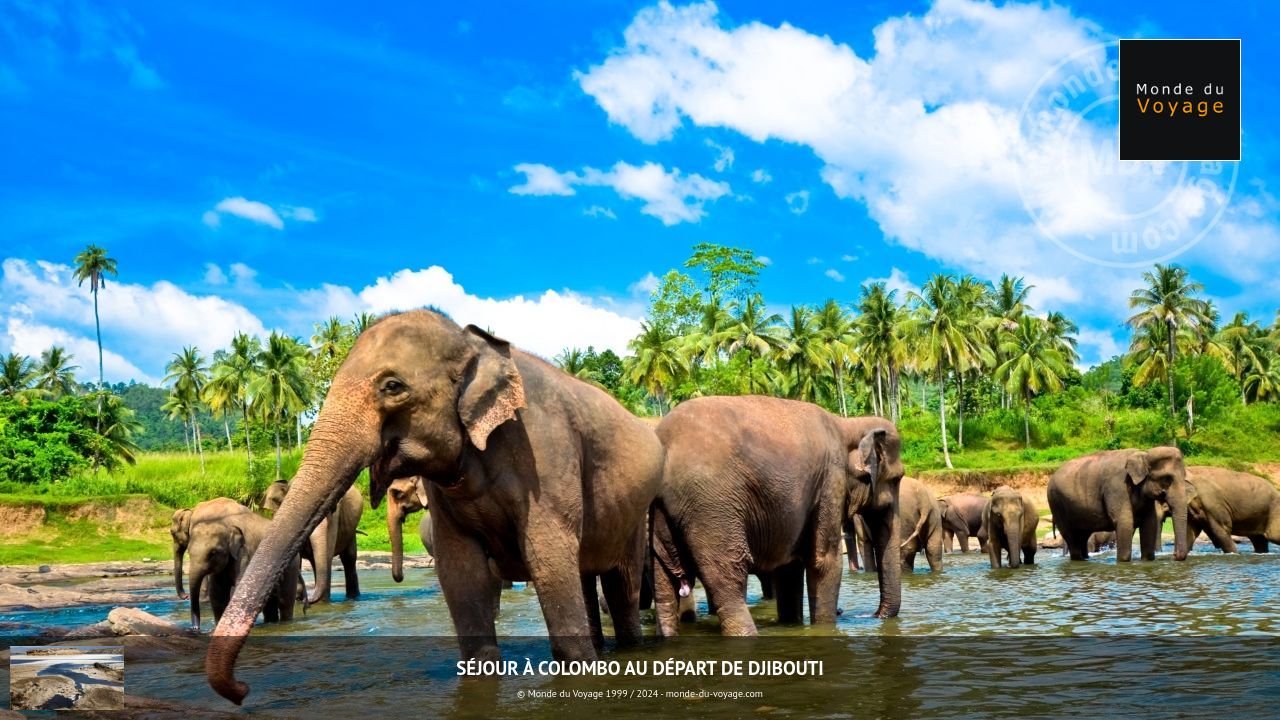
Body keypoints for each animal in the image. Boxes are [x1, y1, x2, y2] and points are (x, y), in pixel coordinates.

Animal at [204, 308, 665, 702]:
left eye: (392, 387)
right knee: (585, 579)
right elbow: (461, 571)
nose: (242, 691)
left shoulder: (547, 456)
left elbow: (548, 558)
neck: (472, 342)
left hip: (635, 512)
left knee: (621, 588)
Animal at [650, 394, 901, 635]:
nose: (870, 615)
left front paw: (792, 624)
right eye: (897, 479)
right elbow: (824, 561)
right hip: (712, 507)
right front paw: (824, 629)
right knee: (728, 579)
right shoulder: (830, 481)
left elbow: (789, 567)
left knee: (664, 585)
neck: (847, 424)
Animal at [1049, 443, 1187, 561]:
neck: (1143, 454)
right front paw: (1123, 561)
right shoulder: (1117, 487)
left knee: (1083, 536)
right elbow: (1125, 522)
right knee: (1071, 536)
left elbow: (1150, 523)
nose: (1174, 555)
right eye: (1167, 479)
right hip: (1056, 503)